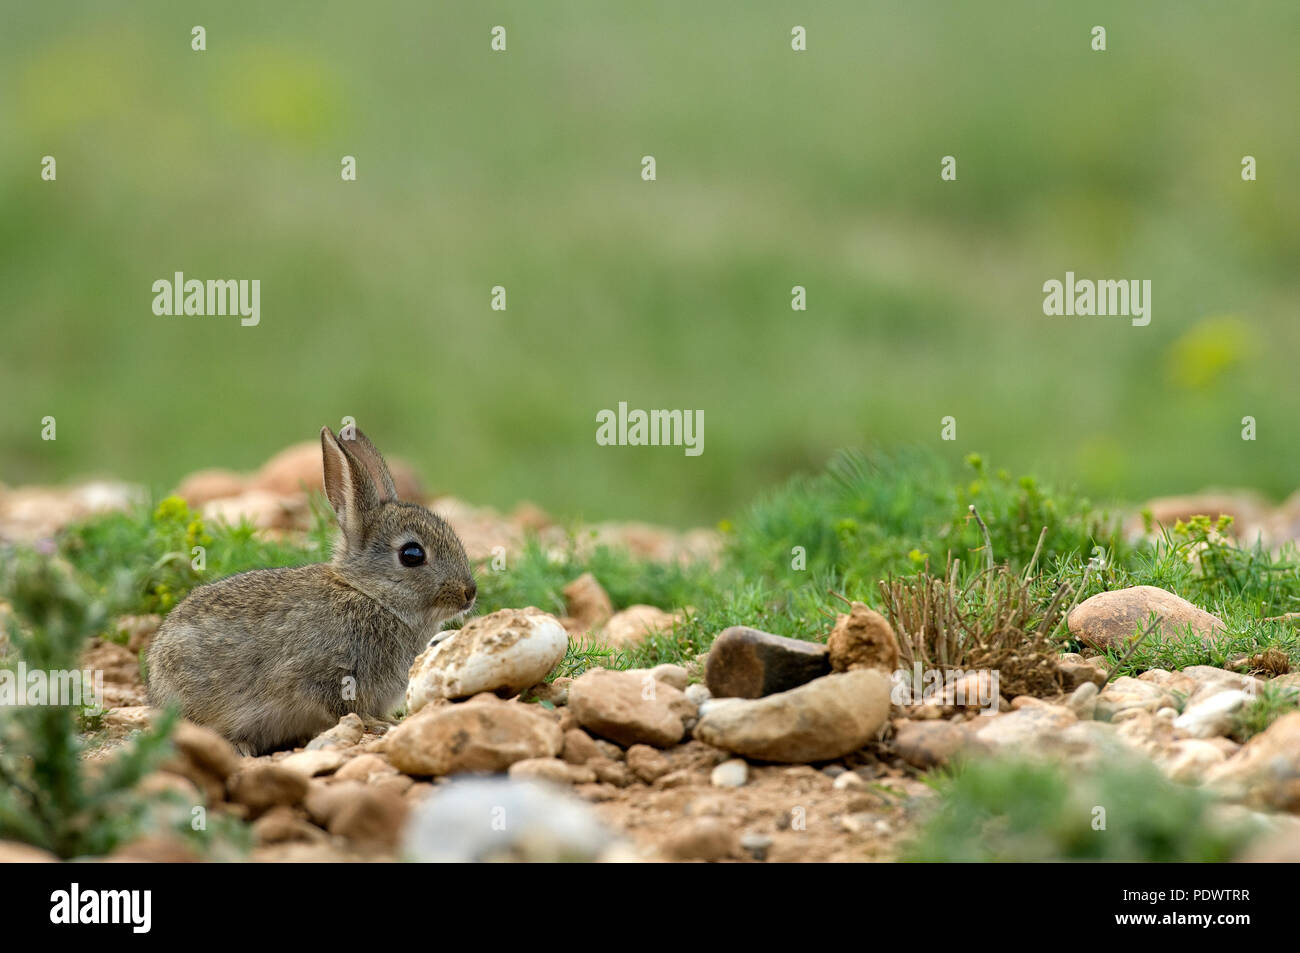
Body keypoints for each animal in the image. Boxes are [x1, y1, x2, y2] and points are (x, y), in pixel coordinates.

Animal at [147, 427, 477, 755]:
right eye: (412, 554)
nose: (469, 592)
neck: (371, 595)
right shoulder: (325, 674)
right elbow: (345, 708)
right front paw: (379, 725)